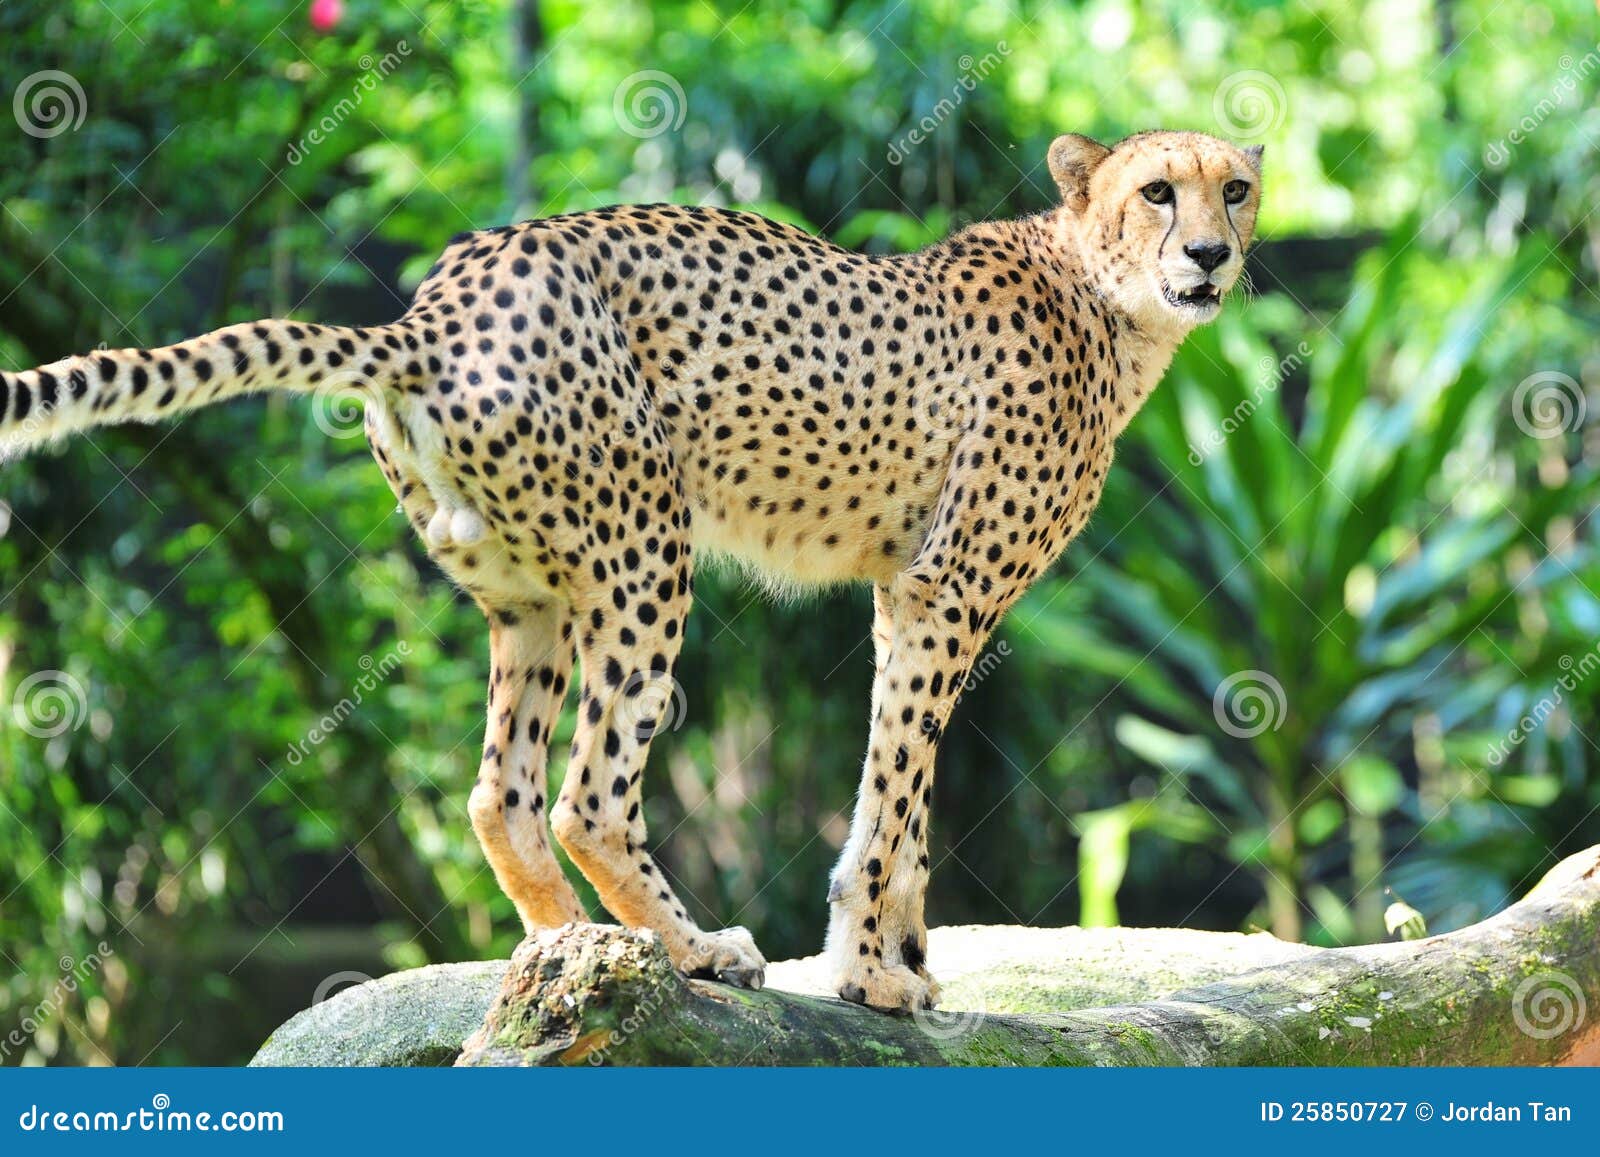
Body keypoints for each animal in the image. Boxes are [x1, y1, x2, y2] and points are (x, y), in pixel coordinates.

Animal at [0, 130, 1262, 1013]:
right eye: (1158, 191)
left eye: (1234, 188)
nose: (1211, 254)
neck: (1105, 300)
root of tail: (433, 305)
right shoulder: (940, 592)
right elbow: (891, 795)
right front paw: (871, 974)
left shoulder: (905, 599)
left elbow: (902, 797)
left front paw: (904, 955)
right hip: (647, 550)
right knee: (590, 795)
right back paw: (690, 948)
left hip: (529, 593)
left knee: (501, 792)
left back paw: (581, 951)